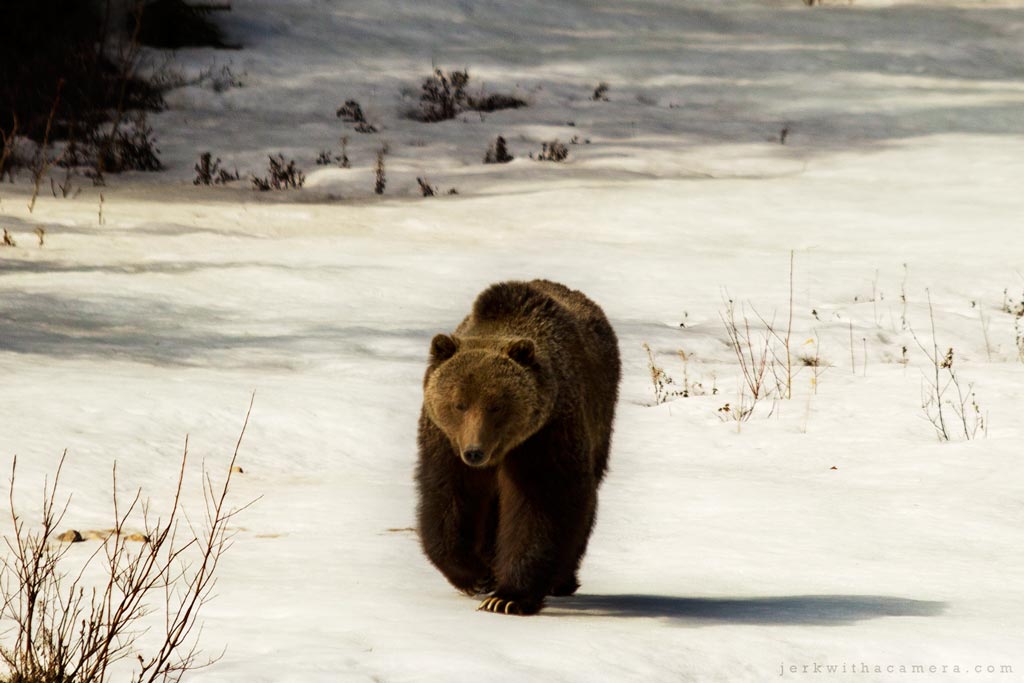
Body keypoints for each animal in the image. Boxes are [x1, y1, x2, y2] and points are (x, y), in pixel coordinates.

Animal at [416, 279, 620, 616]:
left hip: (600, 419)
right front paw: (476, 575)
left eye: (496, 405)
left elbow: (542, 506)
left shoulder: (544, 437)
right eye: (459, 404)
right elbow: (448, 501)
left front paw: (507, 596)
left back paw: (561, 580)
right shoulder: (445, 443)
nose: (475, 452)